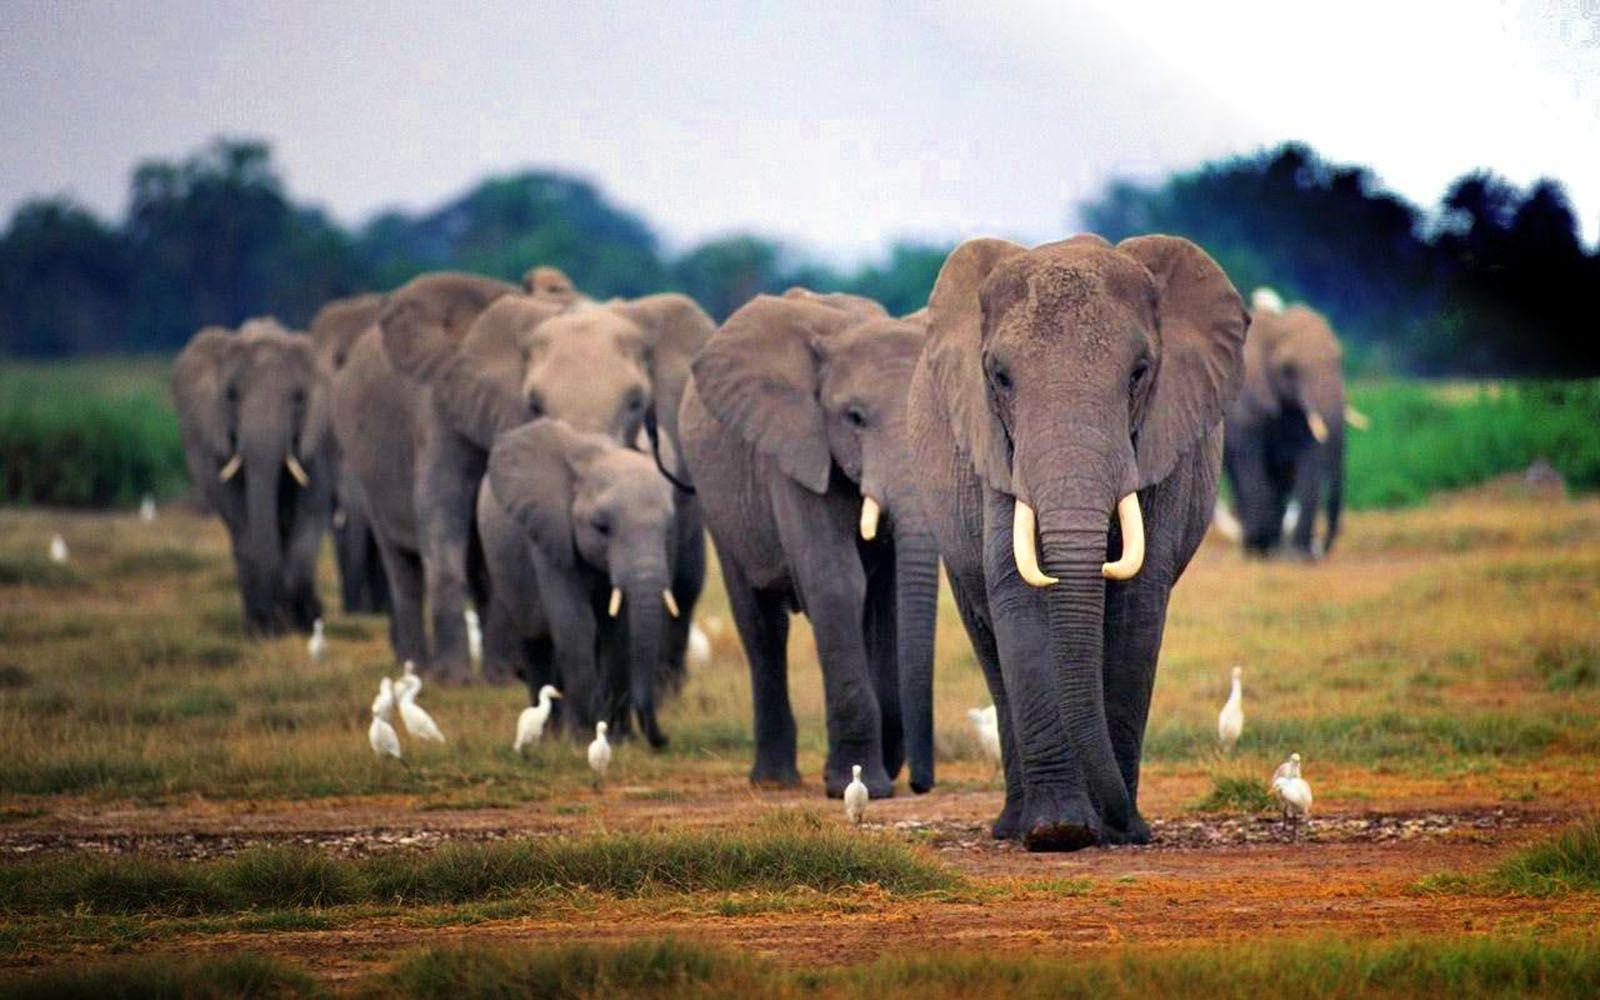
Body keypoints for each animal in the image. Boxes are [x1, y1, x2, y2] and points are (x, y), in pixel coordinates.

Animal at [173, 318, 336, 636]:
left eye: (298, 398)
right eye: (231, 394)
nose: (277, 619)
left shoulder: (320, 435)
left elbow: (311, 508)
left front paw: (303, 622)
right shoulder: (213, 439)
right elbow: (237, 513)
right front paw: (262, 629)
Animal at [478, 419, 681, 746]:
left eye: (668, 528)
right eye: (602, 527)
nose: (663, 739)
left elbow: (619, 632)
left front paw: (619, 739)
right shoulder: (550, 531)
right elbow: (574, 623)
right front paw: (582, 737)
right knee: (536, 641)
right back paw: (549, 734)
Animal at [678, 291, 938, 798]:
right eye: (854, 418)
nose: (921, 784)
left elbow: (889, 594)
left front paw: (877, 776)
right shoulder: (796, 447)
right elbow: (834, 580)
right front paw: (857, 785)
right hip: (717, 501)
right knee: (761, 625)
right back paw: (773, 779)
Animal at [906, 235, 1249, 850]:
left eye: (1139, 373)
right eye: (1000, 377)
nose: (1132, 825)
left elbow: (1137, 600)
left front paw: (1114, 830)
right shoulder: (998, 451)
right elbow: (1016, 587)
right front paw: (1059, 831)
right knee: (988, 643)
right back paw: (1012, 826)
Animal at [1222, 300, 1346, 558]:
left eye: (1339, 359)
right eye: (1289, 368)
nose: (1321, 550)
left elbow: (1310, 459)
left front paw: (1298, 557)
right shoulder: (1245, 401)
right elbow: (1249, 461)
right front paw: (1259, 547)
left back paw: (1275, 549)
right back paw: (1257, 547)